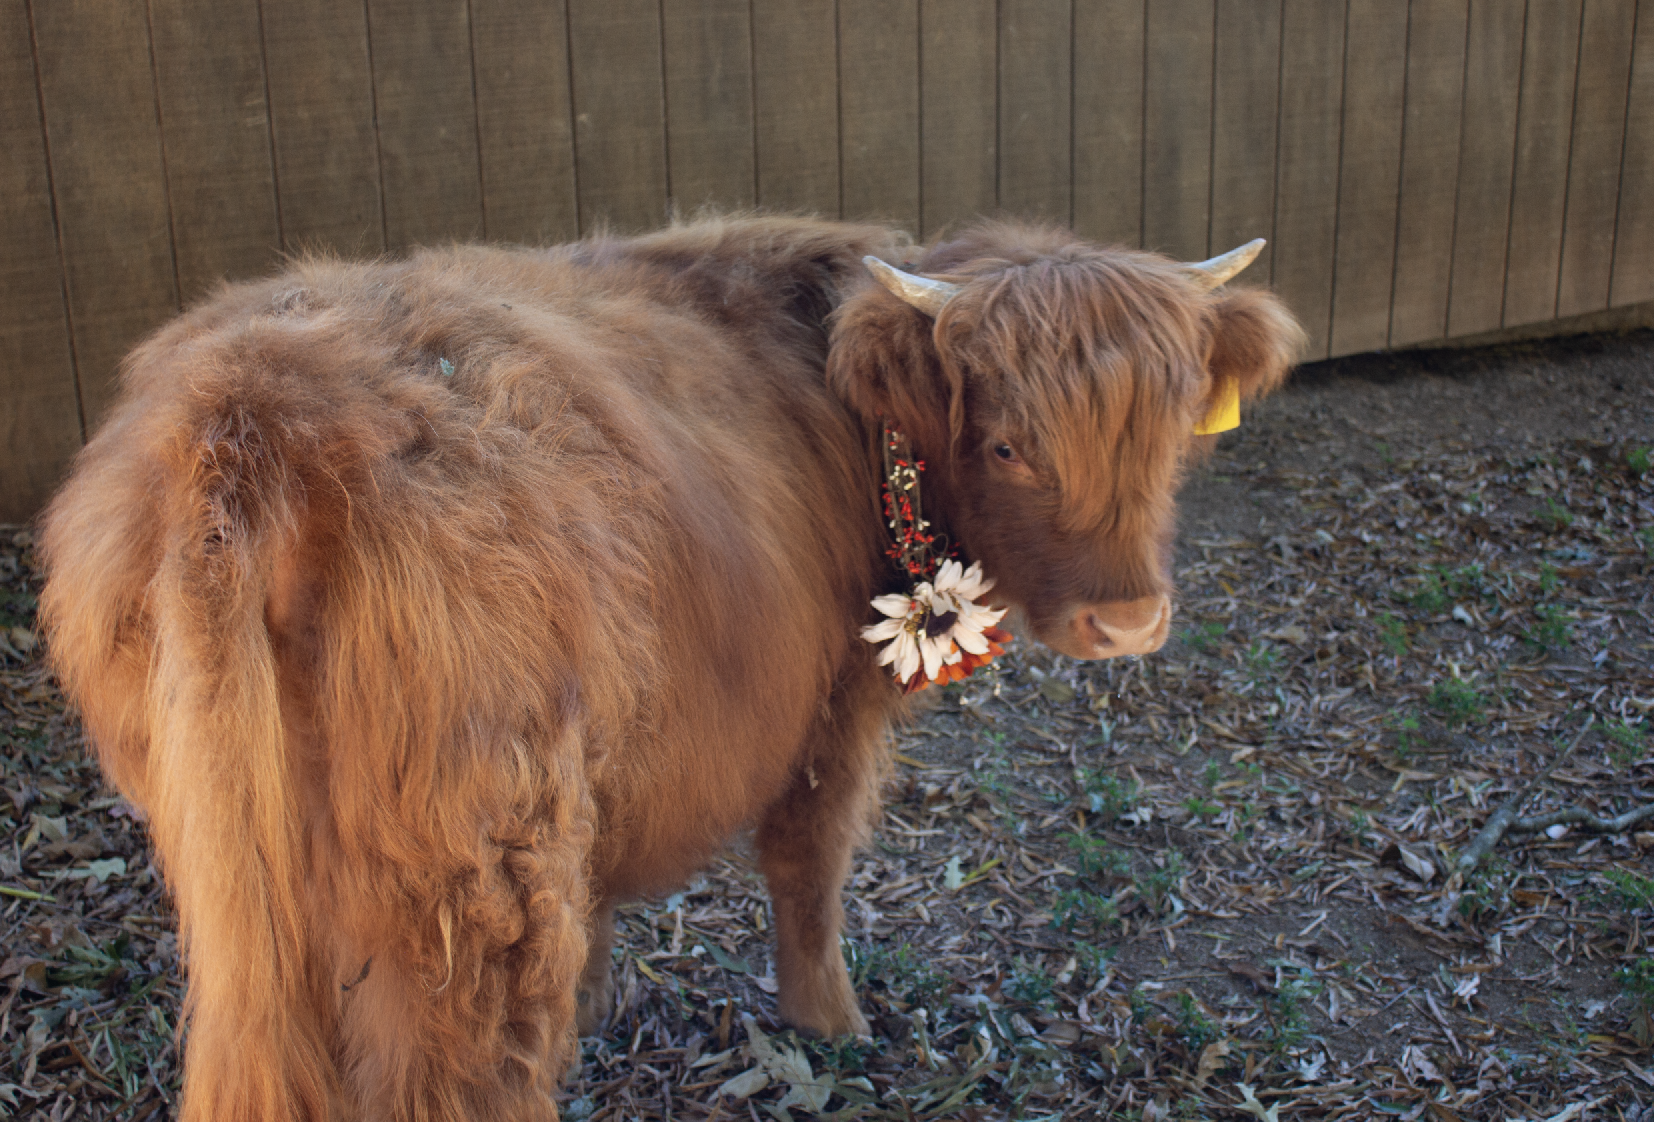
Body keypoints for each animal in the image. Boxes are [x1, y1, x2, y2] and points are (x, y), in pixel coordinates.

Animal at [38, 214, 1302, 1120]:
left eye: (1169, 431)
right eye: (1006, 445)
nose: (1126, 622)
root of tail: (246, 419)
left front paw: (602, 1001)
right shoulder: (829, 706)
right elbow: (809, 862)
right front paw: (830, 1021)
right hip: (479, 864)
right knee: (468, 1071)